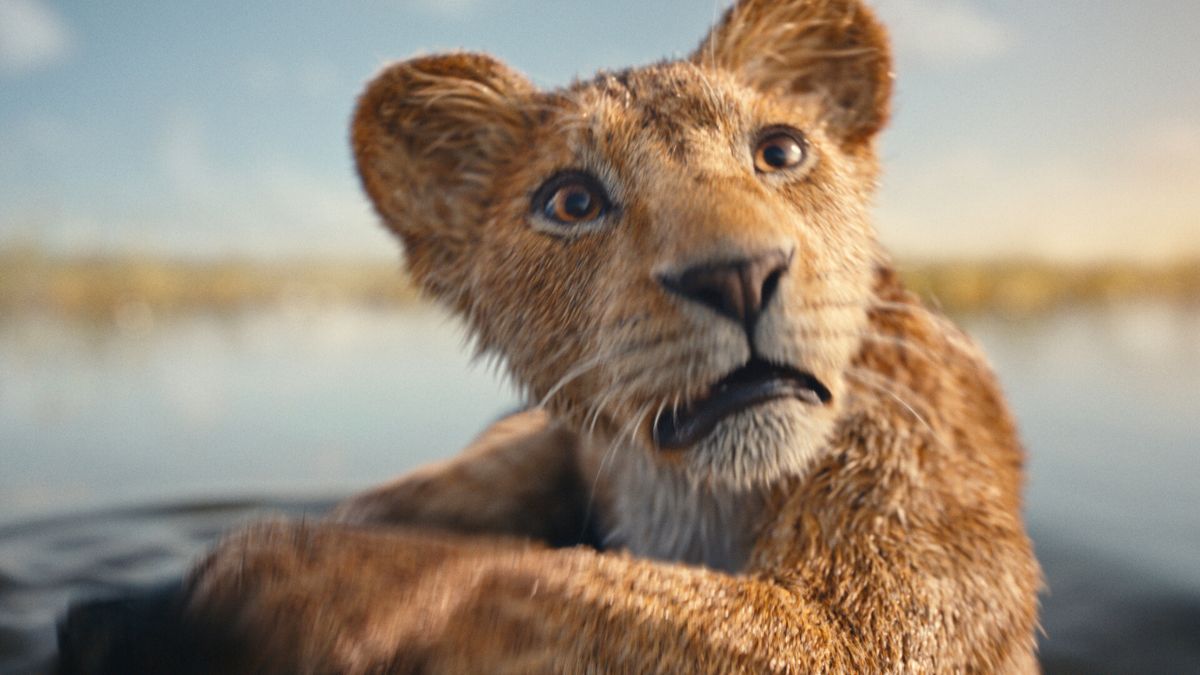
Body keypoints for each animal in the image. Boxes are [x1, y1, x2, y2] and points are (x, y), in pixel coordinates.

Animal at [57, 0, 1041, 672]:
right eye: (572, 200)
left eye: (782, 151)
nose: (738, 274)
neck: (690, 492)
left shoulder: (879, 621)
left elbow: (535, 579)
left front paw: (274, 579)